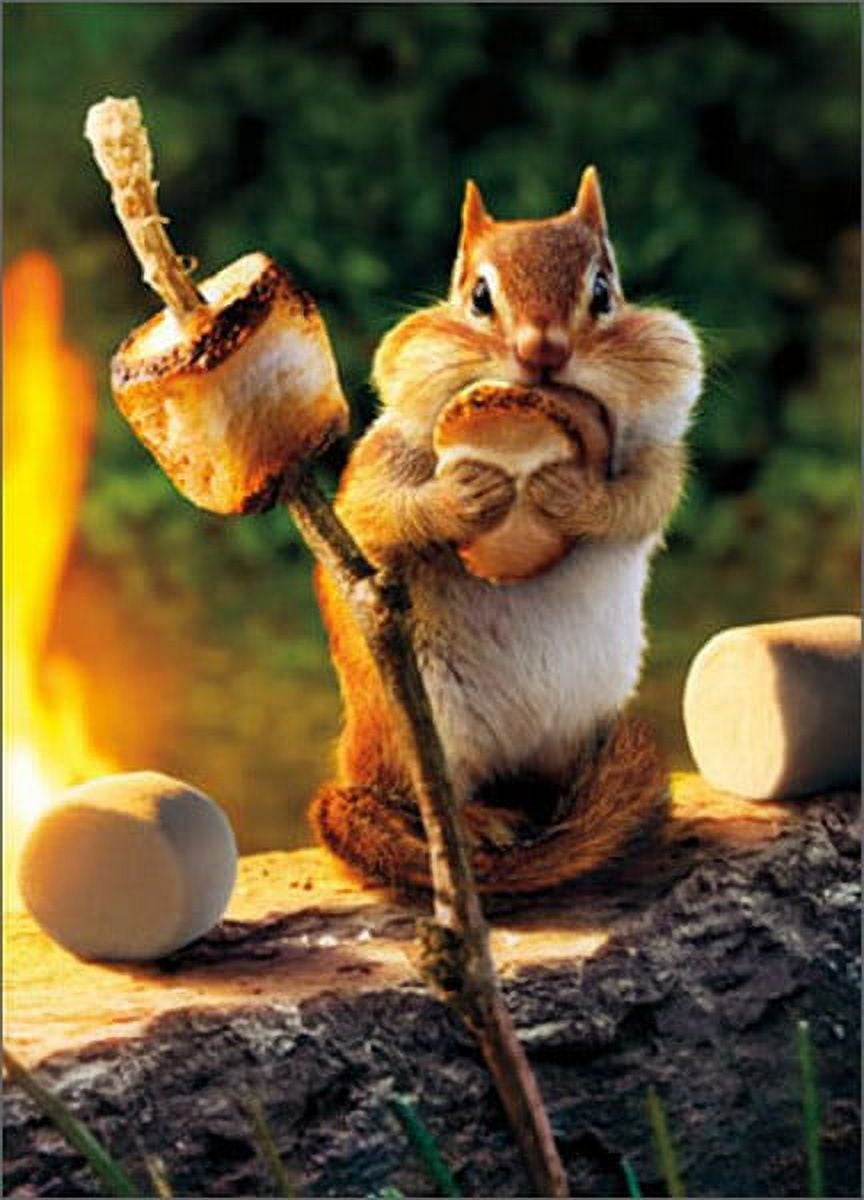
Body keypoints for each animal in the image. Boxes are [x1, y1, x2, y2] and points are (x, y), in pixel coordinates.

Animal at [312, 166, 703, 893]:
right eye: (478, 296)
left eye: (603, 292)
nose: (542, 350)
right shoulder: (385, 458)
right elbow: (377, 512)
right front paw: (464, 494)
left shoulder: (658, 457)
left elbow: (639, 500)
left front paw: (571, 492)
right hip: (419, 727)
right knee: (423, 801)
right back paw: (477, 823)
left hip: (580, 723)